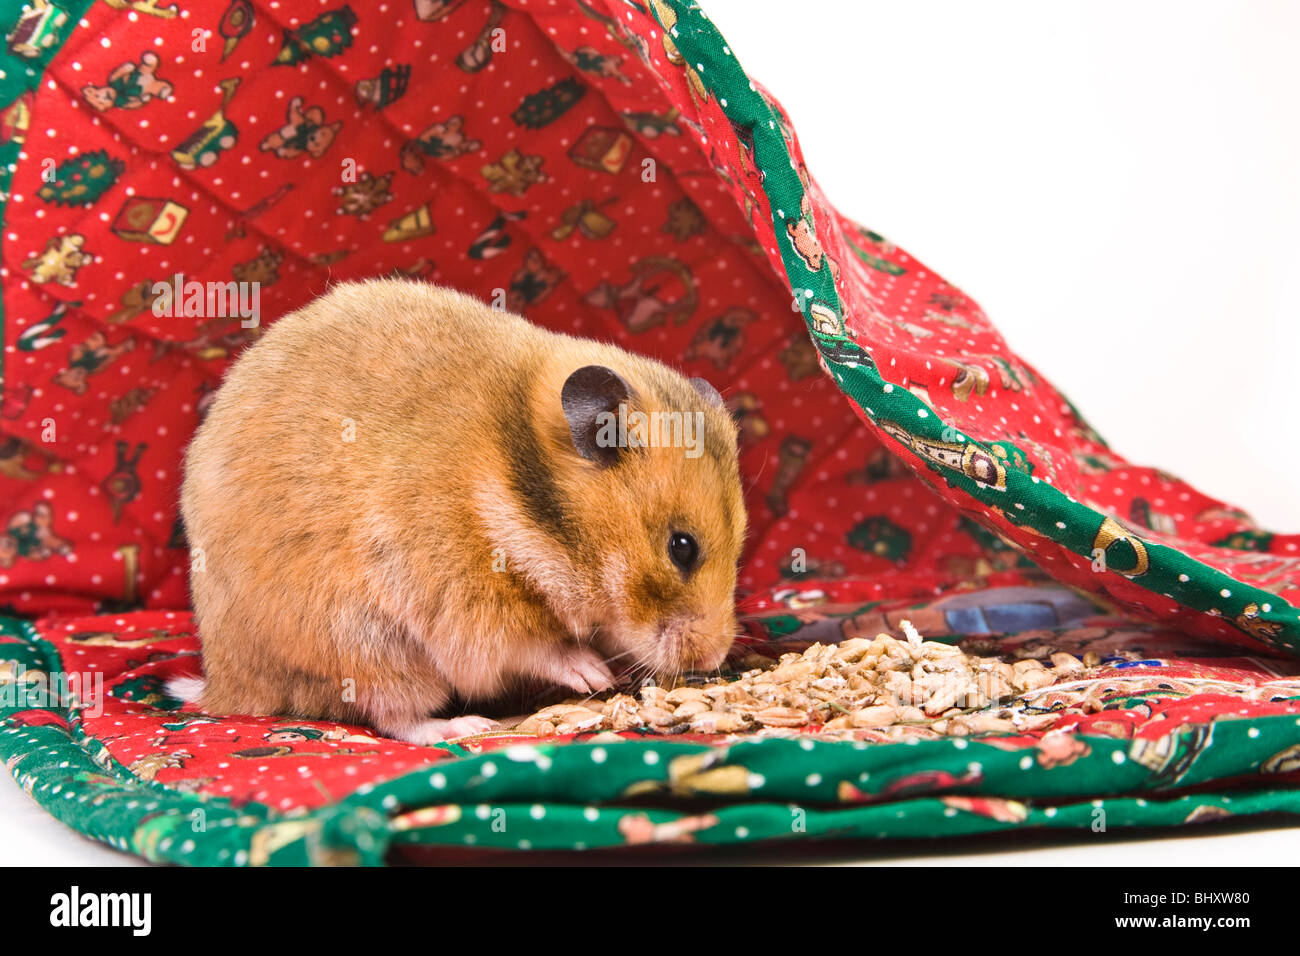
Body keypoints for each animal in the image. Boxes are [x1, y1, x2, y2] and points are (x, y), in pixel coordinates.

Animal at [177, 279, 746, 744]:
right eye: (682, 547)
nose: (714, 658)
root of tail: (225, 684)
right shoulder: (468, 603)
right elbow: (539, 648)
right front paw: (597, 674)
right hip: (369, 646)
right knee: (396, 717)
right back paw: (467, 726)